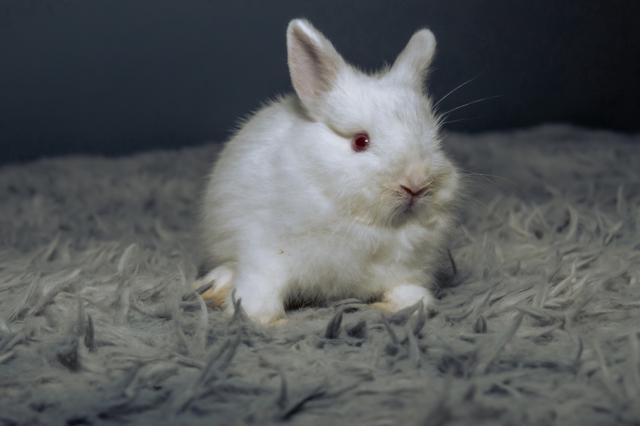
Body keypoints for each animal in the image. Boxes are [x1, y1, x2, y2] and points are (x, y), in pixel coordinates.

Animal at [196, 18, 460, 324]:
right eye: (360, 141)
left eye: (434, 140)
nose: (415, 184)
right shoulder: (265, 255)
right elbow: (258, 298)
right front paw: (269, 321)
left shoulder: (406, 273)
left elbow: (416, 299)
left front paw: (387, 309)